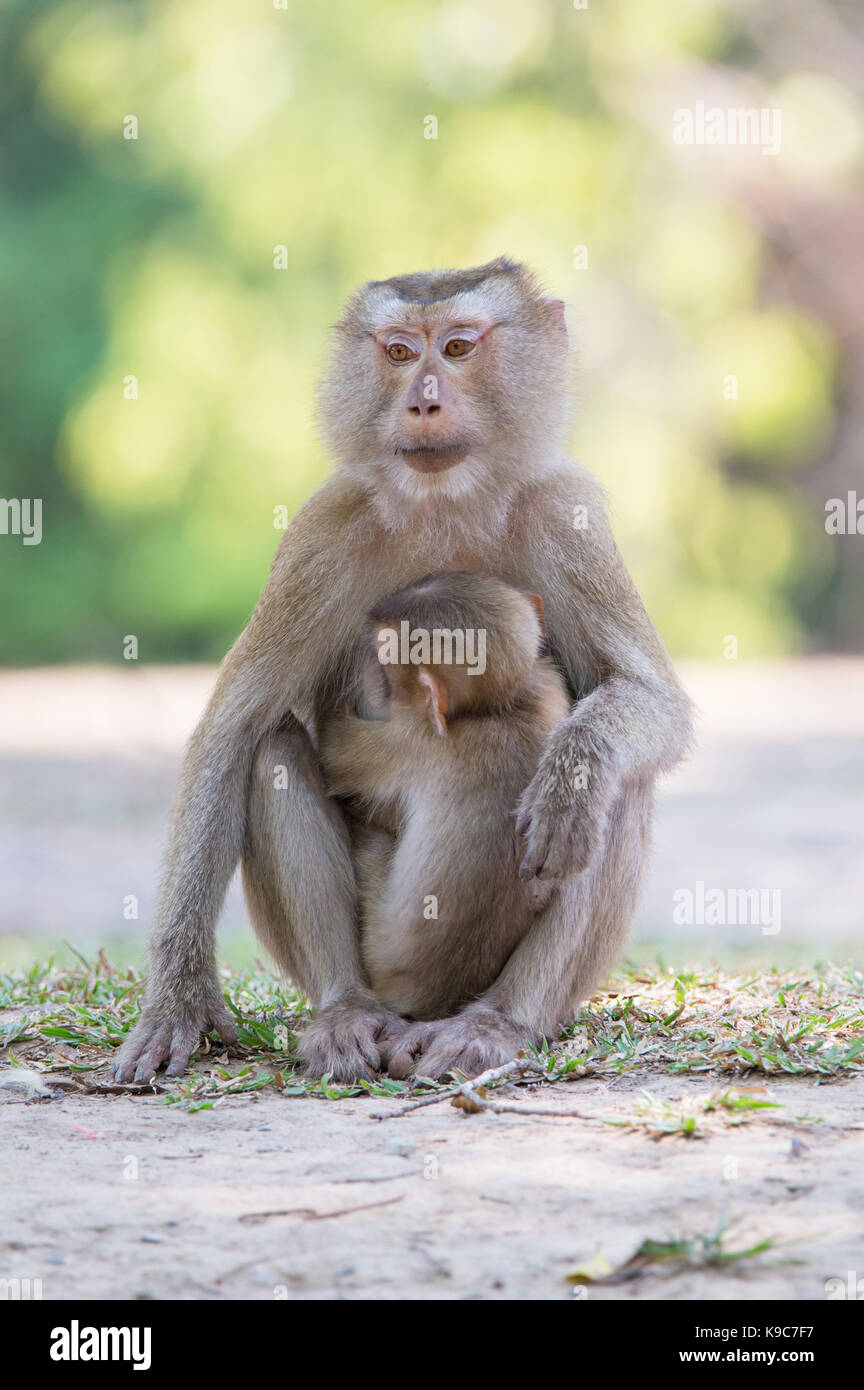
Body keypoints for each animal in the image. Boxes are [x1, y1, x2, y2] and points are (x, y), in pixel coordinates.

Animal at [316, 571, 571, 1030]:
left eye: (386, 668)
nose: (369, 668)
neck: (495, 711)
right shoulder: (548, 685)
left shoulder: (409, 743)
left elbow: (334, 751)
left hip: (377, 943)